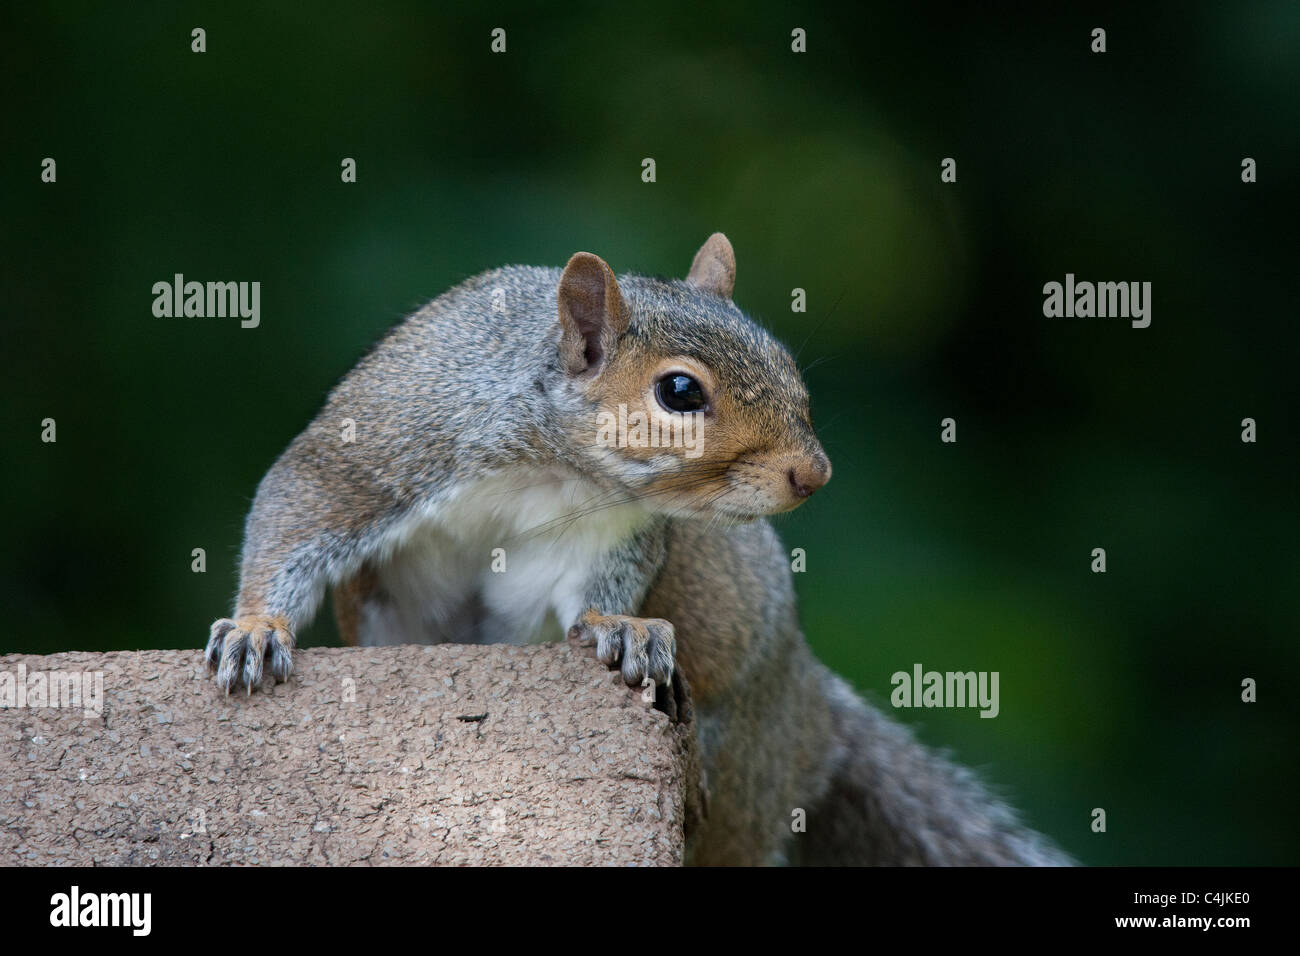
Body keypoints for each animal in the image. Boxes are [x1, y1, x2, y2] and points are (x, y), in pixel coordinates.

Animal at [204, 233, 1071, 866]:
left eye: (786, 364)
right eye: (679, 391)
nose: (814, 473)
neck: (549, 461)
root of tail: (813, 712)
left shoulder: (608, 533)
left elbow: (593, 592)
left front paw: (620, 629)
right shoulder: (385, 442)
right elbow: (300, 505)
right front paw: (254, 629)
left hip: (749, 762)